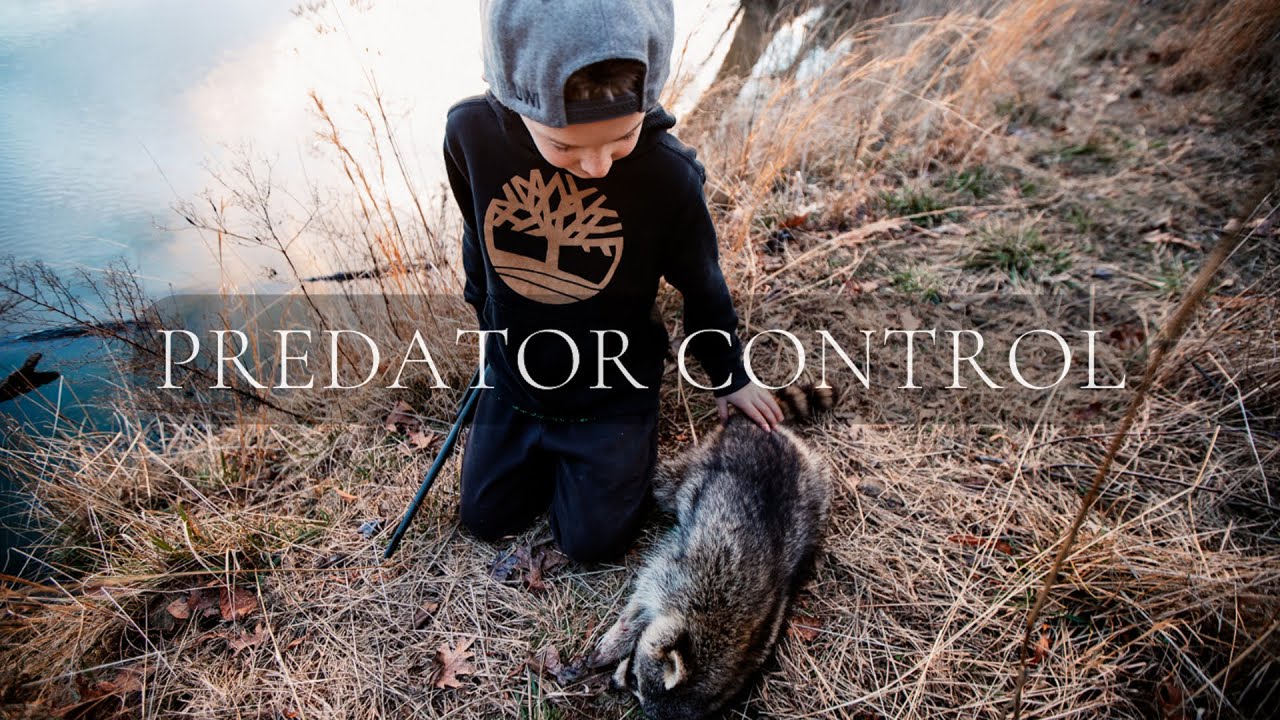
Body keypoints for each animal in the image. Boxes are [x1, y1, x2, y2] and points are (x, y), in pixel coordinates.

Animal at [589, 386, 834, 720]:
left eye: (635, 683)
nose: (614, 684)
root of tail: (764, 430)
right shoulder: (684, 573)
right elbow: (645, 590)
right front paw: (622, 633)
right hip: (706, 460)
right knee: (664, 482)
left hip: (815, 487)